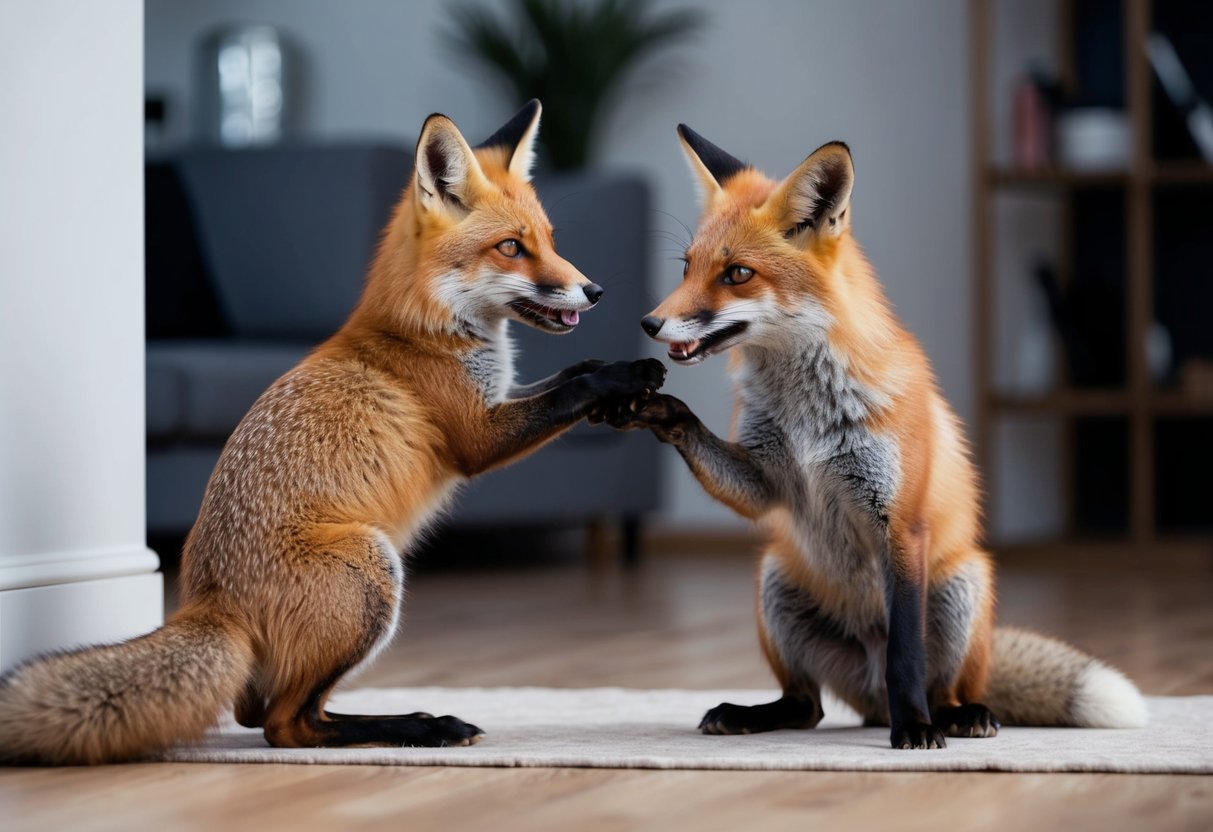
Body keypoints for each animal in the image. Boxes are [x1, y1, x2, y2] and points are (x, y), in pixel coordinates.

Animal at [0, 100, 665, 765]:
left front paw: (616, 384)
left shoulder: (499, 401)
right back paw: (421, 725)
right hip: (373, 574)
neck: (424, 330)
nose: (594, 291)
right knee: (285, 725)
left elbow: (568, 376)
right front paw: (626, 375)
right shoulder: (477, 436)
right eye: (510, 248)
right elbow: (567, 393)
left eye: (550, 241)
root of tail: (210, 598)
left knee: (263, 712)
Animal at [599, 125, 1147, 749]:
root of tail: (867, 699)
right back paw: (753, 714)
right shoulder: (767, 481)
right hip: (774, 581)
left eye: (736, 274)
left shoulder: (900, 524)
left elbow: (905, 655)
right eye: (686, 267)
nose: (649, 323)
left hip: (963, 585)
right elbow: (699, 438)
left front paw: (915, 730)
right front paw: (649, 406)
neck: (807, 416)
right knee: (806, 706)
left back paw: (953, 716)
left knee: (935, 685)